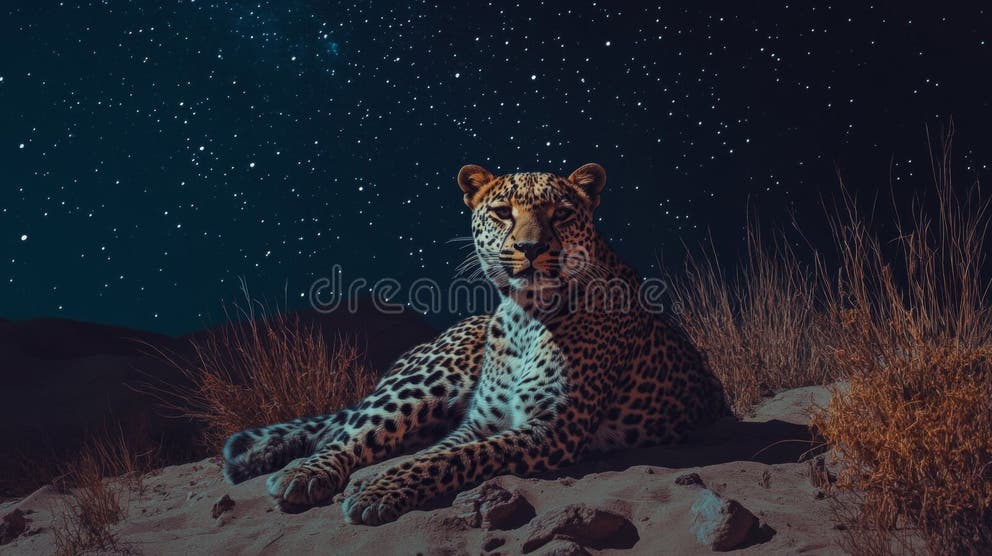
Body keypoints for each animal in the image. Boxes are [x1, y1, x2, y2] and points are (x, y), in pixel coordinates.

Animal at [222, 162, 731, 525]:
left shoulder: (550, 428)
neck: (526, 314)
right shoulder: (483, 420)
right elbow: (440, 453)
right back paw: (299, 472)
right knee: (347, 432)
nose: (530, 248)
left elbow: (448, 458)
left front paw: (379, 489)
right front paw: (374, 485)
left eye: (561, 214)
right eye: (503, 212)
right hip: (428, 382)